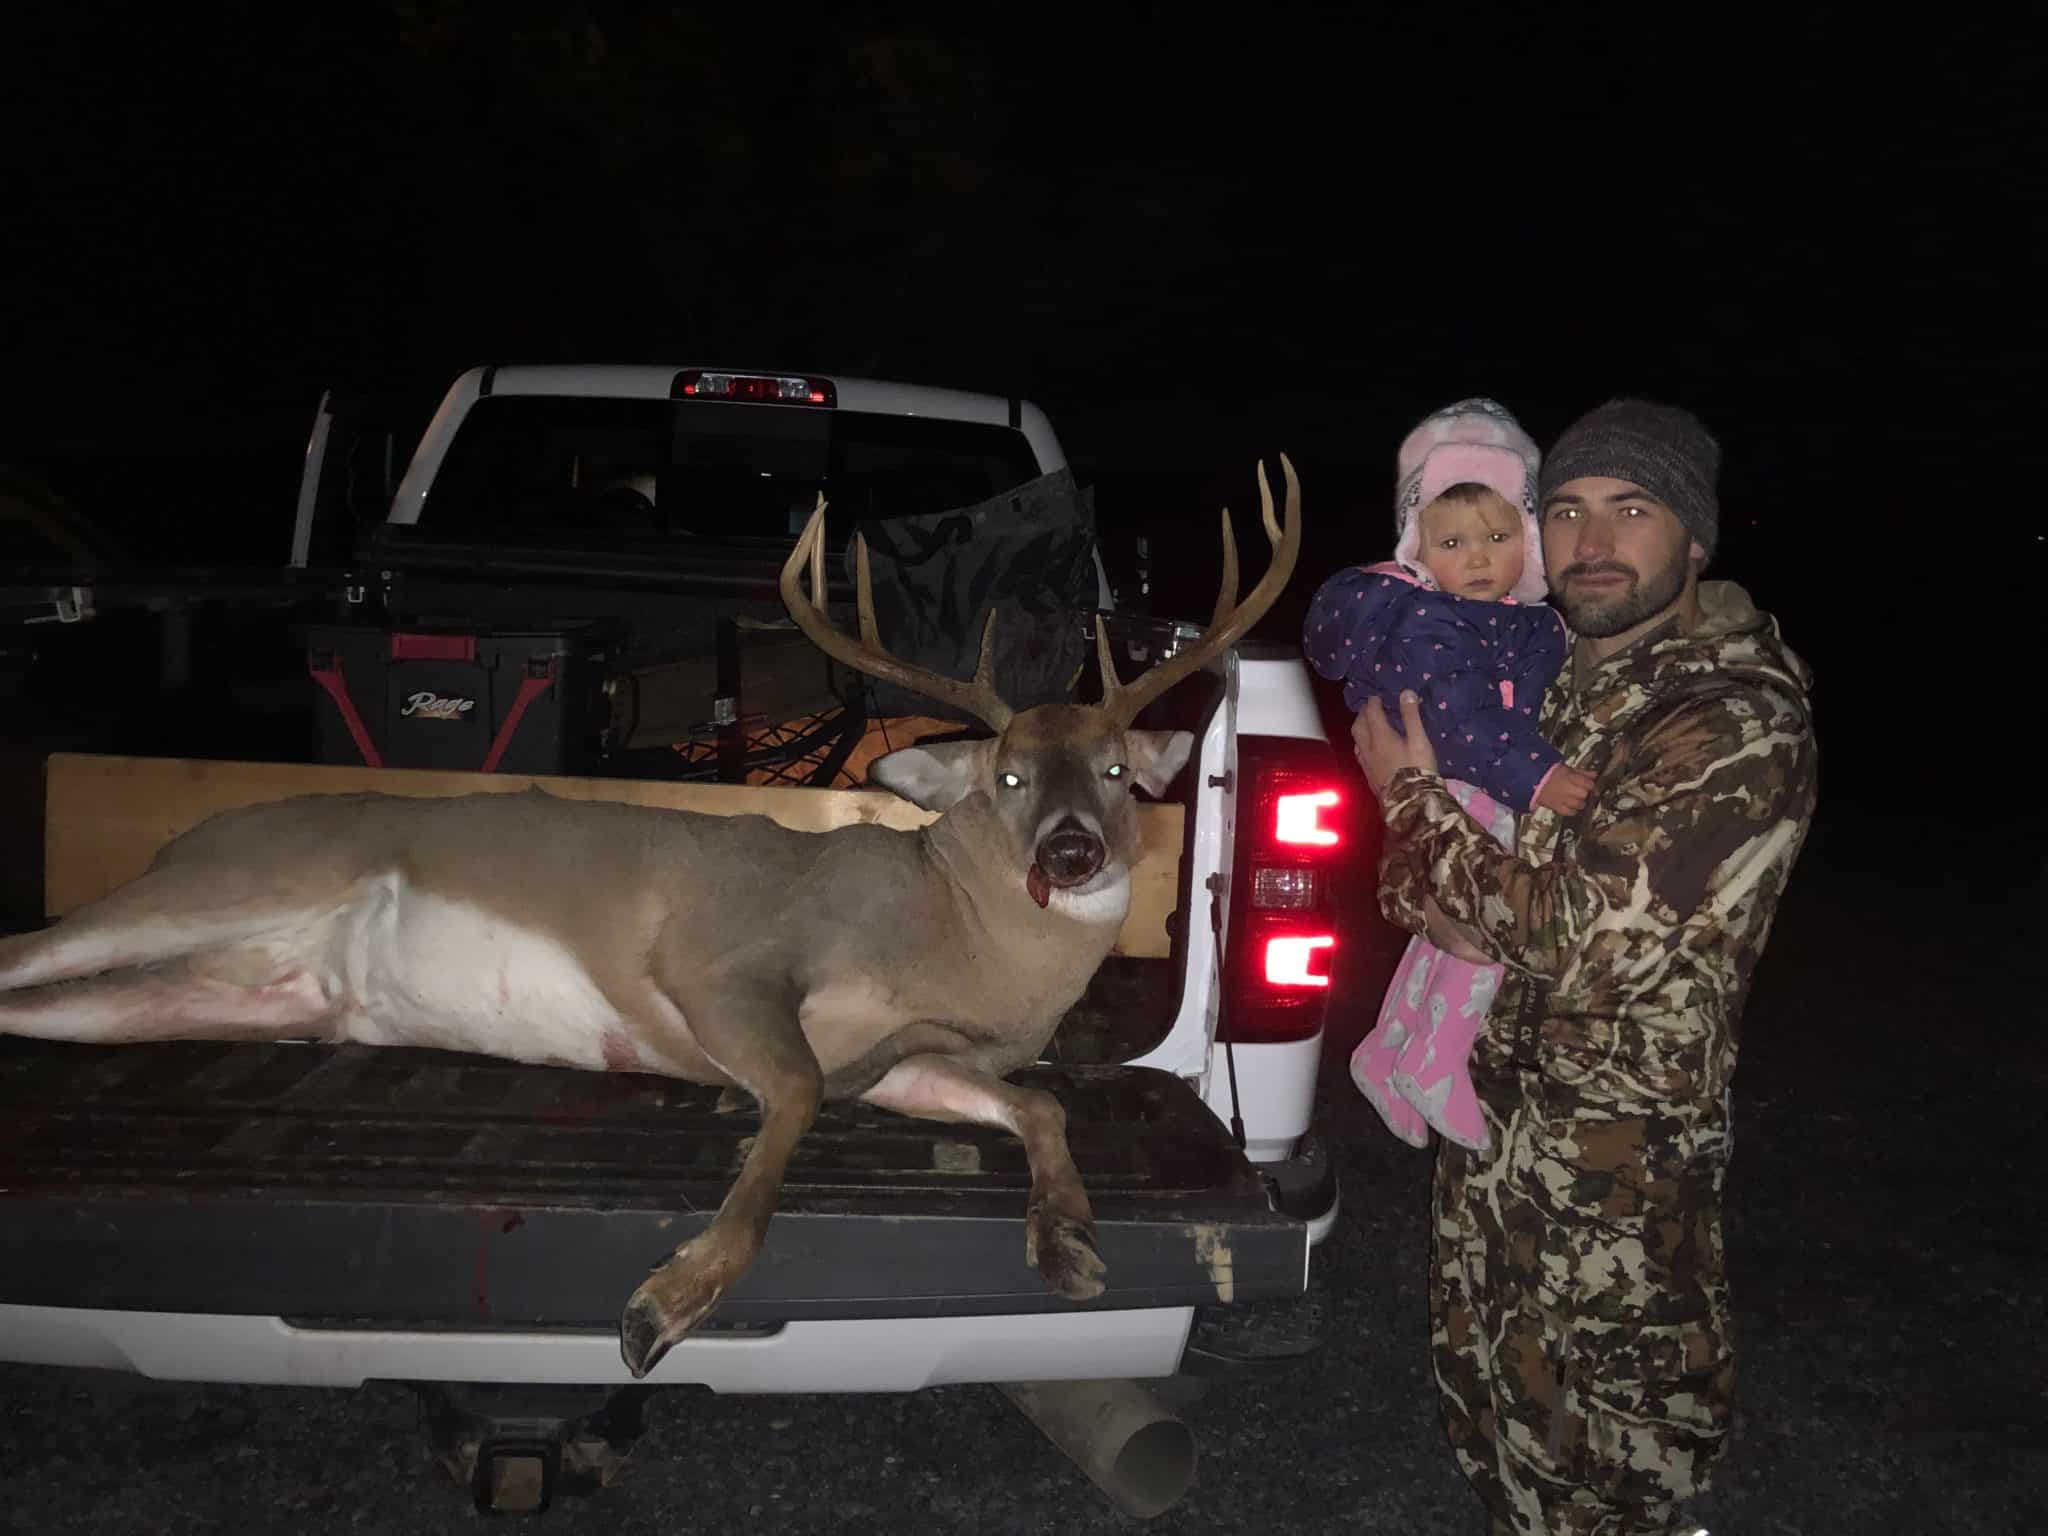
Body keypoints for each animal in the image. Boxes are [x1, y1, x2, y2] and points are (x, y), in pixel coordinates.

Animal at [0, 456, 1302, 1380]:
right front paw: (668, 1300)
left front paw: (1067, 1235)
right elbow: (789, 1100)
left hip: (214, 993)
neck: (950, 942)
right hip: (217, 884)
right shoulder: (724, 962)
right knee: (22, 946)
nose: (1073, 849)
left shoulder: (902, 1062)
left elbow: (1034, 1103)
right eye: (1009, 777)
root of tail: (197, 835)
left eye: (1119, 773)